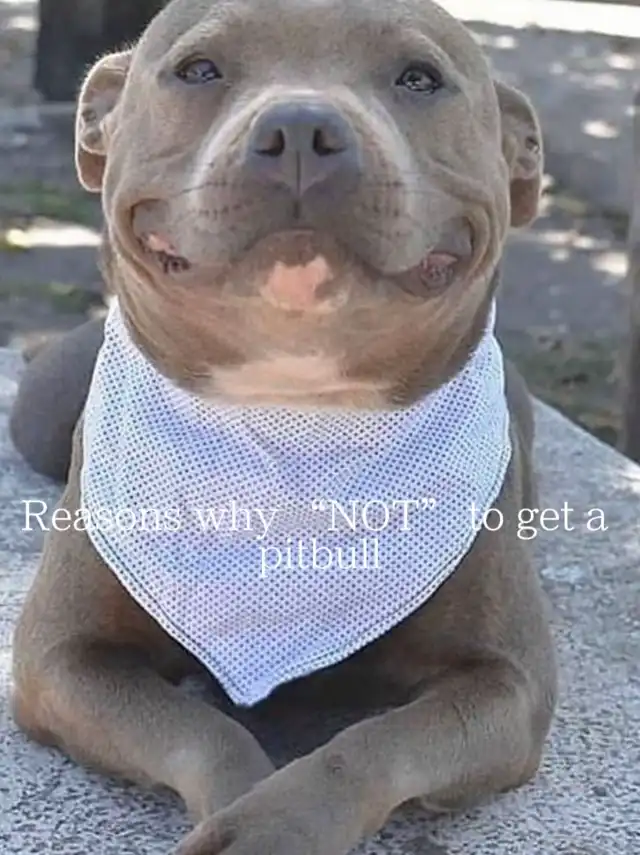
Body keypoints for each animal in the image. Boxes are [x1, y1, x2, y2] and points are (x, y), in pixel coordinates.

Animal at [11, 1, 557, 854]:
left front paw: (274, 825)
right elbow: (201, 728)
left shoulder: (508, 681)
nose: (301, 127)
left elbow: (373, 744)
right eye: (198, 69)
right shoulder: (59, 656)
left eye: (420, 78)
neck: (295, 411)